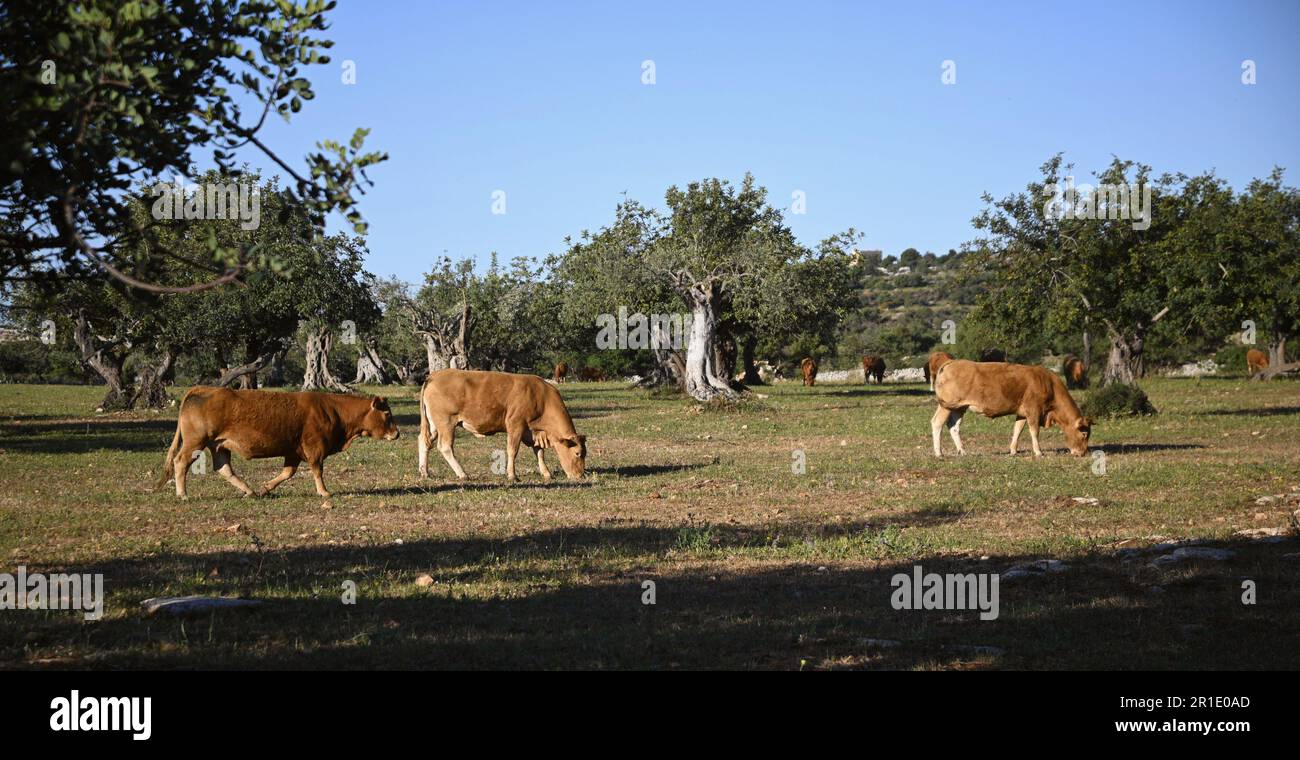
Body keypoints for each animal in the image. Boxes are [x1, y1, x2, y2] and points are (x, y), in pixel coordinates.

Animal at [155, 387, 400, 499]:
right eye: (387, 414)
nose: (397, 433)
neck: (334, 411)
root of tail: (202, 388)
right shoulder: (314, 448)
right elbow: (317, 471)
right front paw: (324, 492)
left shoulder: (293, 451)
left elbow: (287, 473)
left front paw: (265, 488)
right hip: (195, 442)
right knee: (180, 462)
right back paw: (182, 494)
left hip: (219, 445)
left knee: (224, 468)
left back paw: (250, 491)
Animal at [418, 368, 587, 482]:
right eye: (578, 453)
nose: (580, 475)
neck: (541, 397)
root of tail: (433, 376)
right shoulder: (515, 424)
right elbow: (512, 450)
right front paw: (512, 475)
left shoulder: (531, 431)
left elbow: (539, 451)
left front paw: (546, 473)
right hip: (446, 423)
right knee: (445, 447)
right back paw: (462, 474)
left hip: (434, 425)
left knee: (424, 442)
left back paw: (424, 472)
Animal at [931, 360, 1091, 458]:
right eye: (1084, 434)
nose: (1083, 453)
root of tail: (952, 362)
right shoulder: (1033, 410)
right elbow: (1034, 431)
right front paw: (1038, 452)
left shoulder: (1022, 413)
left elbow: (1017, 430)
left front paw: (1013, 450)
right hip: (946, 405)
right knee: (937, 423)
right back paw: (939, 453)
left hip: (959, 407)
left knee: (953, 427)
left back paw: (962, 451)